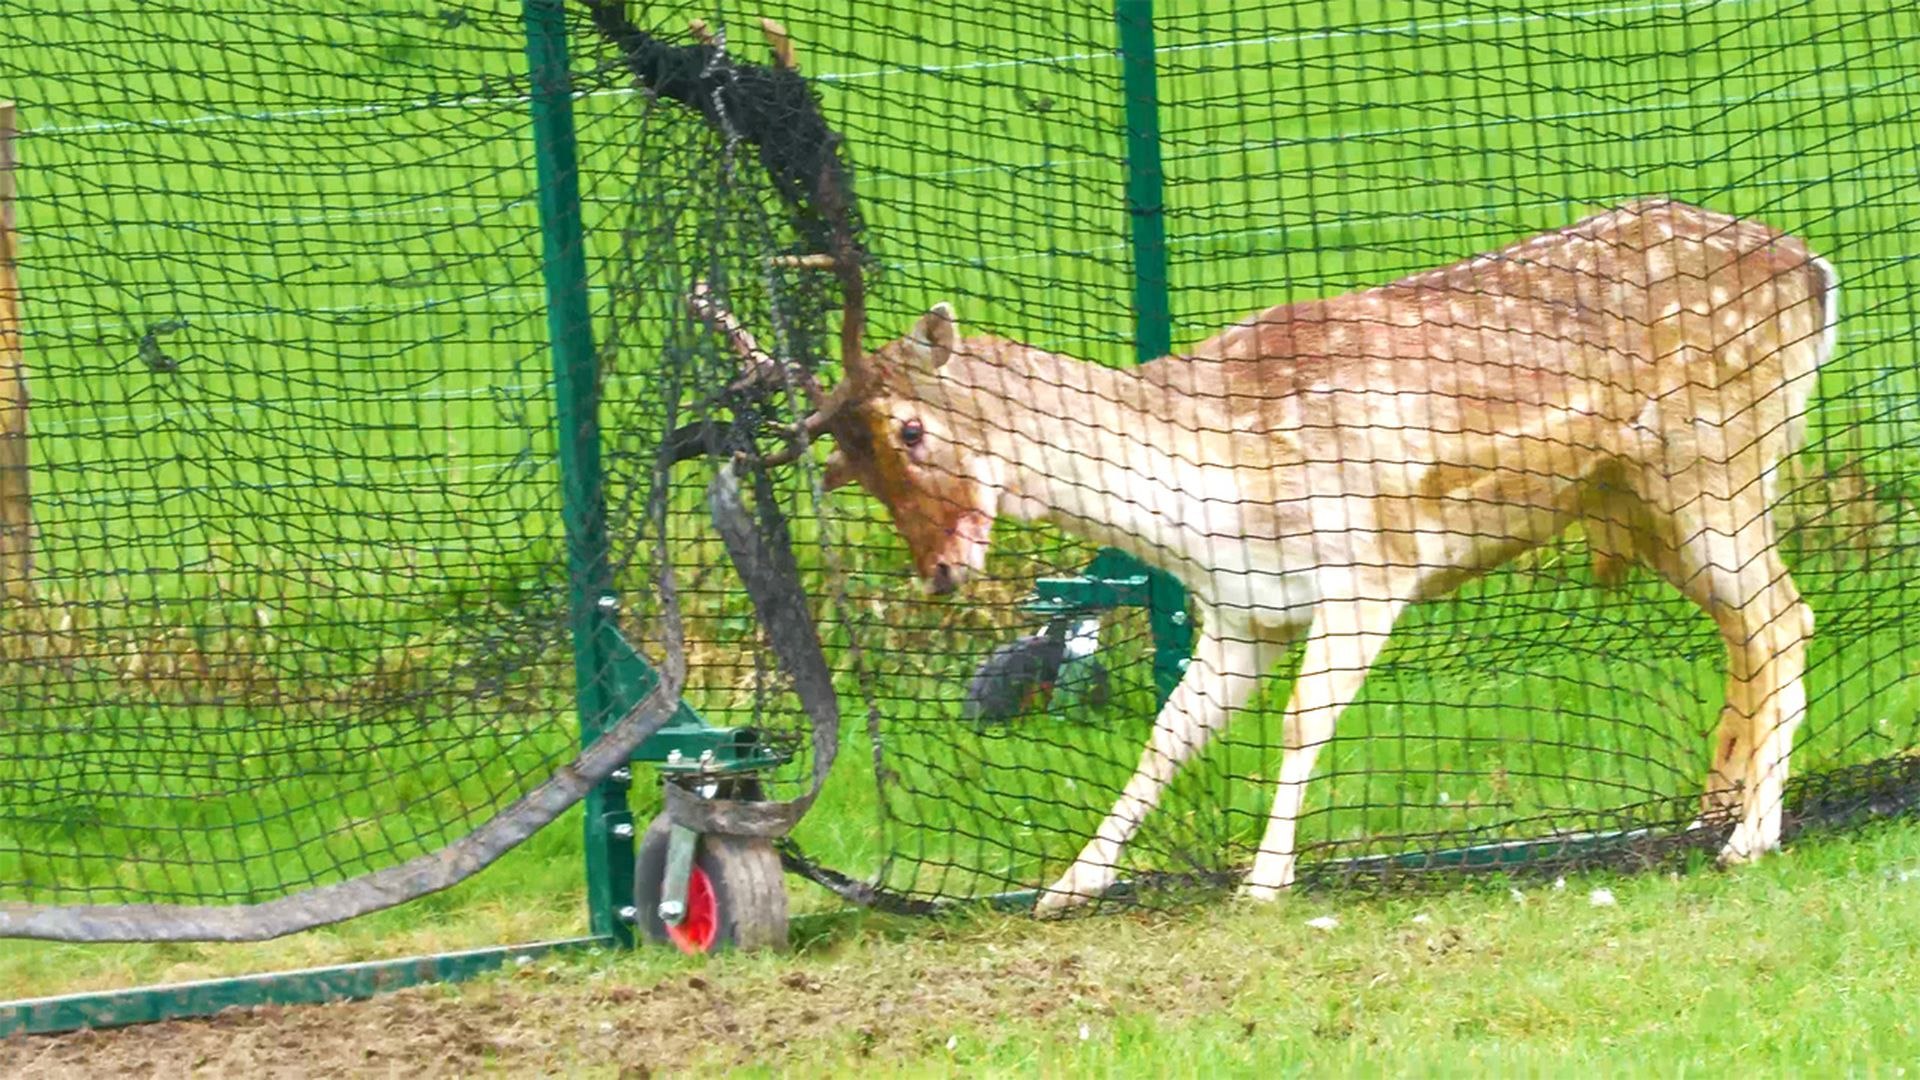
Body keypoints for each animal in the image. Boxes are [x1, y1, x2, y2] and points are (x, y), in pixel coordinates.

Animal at [685, 197, 1838, 916]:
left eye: (913, 431)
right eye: (850, 471)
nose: (938, 571)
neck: (1213, 495)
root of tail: (1818, 275)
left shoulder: (1372, 569)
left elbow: (1298, 724)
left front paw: (1264, 881)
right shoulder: (1241, 613)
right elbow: (1166, 737)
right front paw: (1067, 886)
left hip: (1712, 464)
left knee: (1786, 617)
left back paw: (1751, 836)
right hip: (1655, 501)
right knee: (1750, 630)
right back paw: (1716, 807)